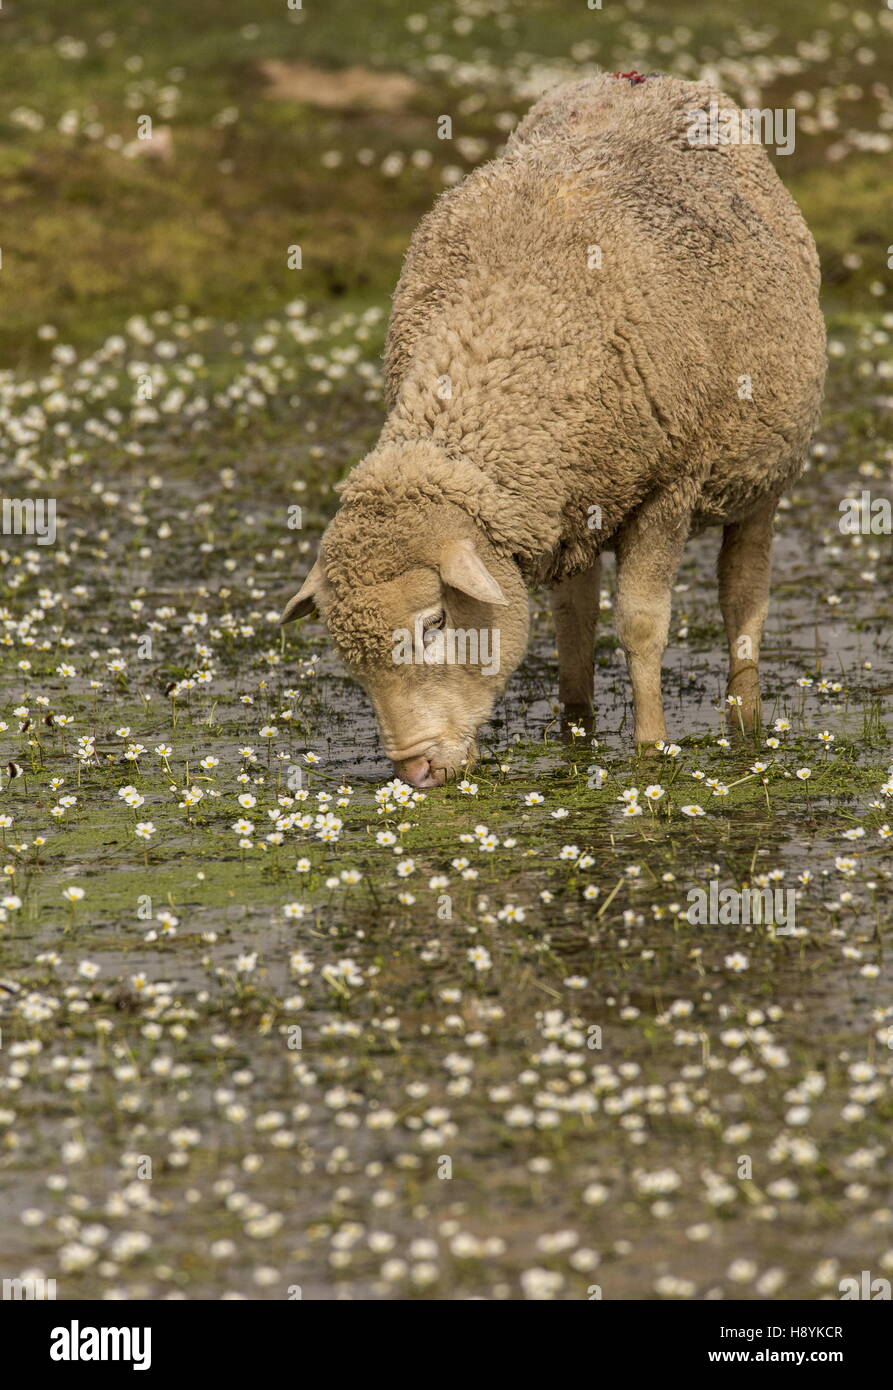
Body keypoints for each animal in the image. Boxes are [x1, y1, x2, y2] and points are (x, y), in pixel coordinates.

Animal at [282, 71, 826, 787]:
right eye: (348, 653)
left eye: (434, 622)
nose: (415, 770)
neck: (500, 328)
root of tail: (644, 74)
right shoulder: (559, 497)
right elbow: (571, 625)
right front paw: (576, 735)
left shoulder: (669, 487)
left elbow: (642, 625)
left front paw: (650, 749)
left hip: (760, 473)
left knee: (744, 595)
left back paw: (745, 722)